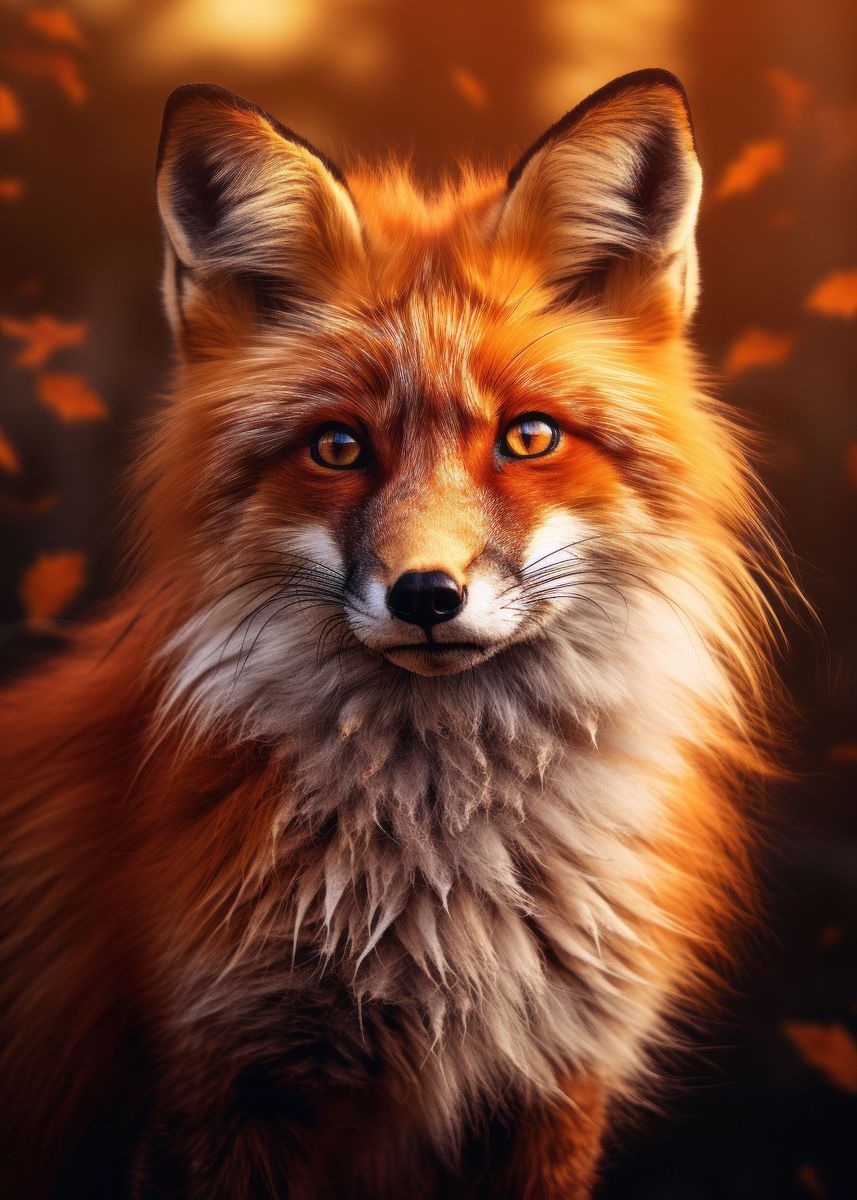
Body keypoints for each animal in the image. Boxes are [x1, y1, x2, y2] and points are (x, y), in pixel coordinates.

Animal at [0, 69, 786, 1198]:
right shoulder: (227, 1077)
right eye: (338, 447)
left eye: (527, 437)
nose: (425, 596)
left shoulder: (555, 1081)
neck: (445, 893)